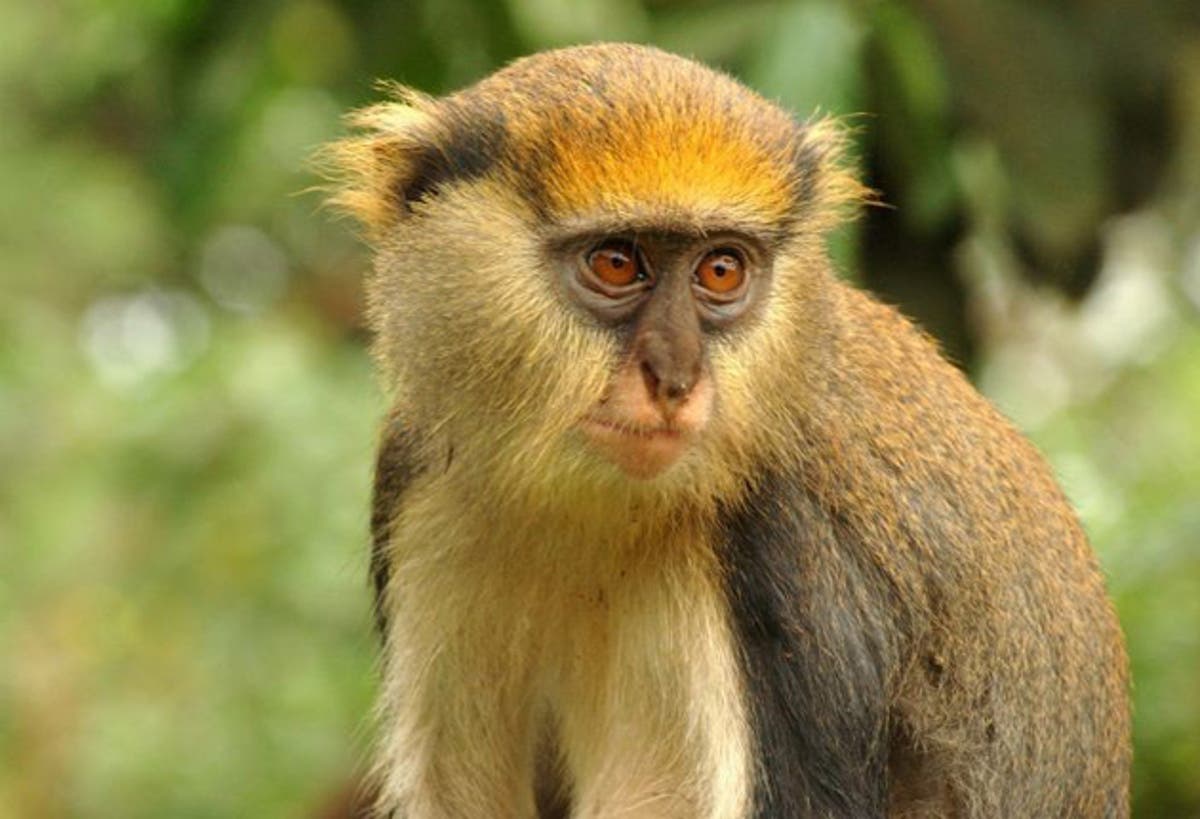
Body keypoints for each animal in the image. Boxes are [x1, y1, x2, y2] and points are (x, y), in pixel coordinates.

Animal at [324, 43, 1131, 818]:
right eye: (616, 262)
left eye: (720, 270)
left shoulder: (784, 552)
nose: (675, 379)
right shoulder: (417, 479)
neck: (594, 509)